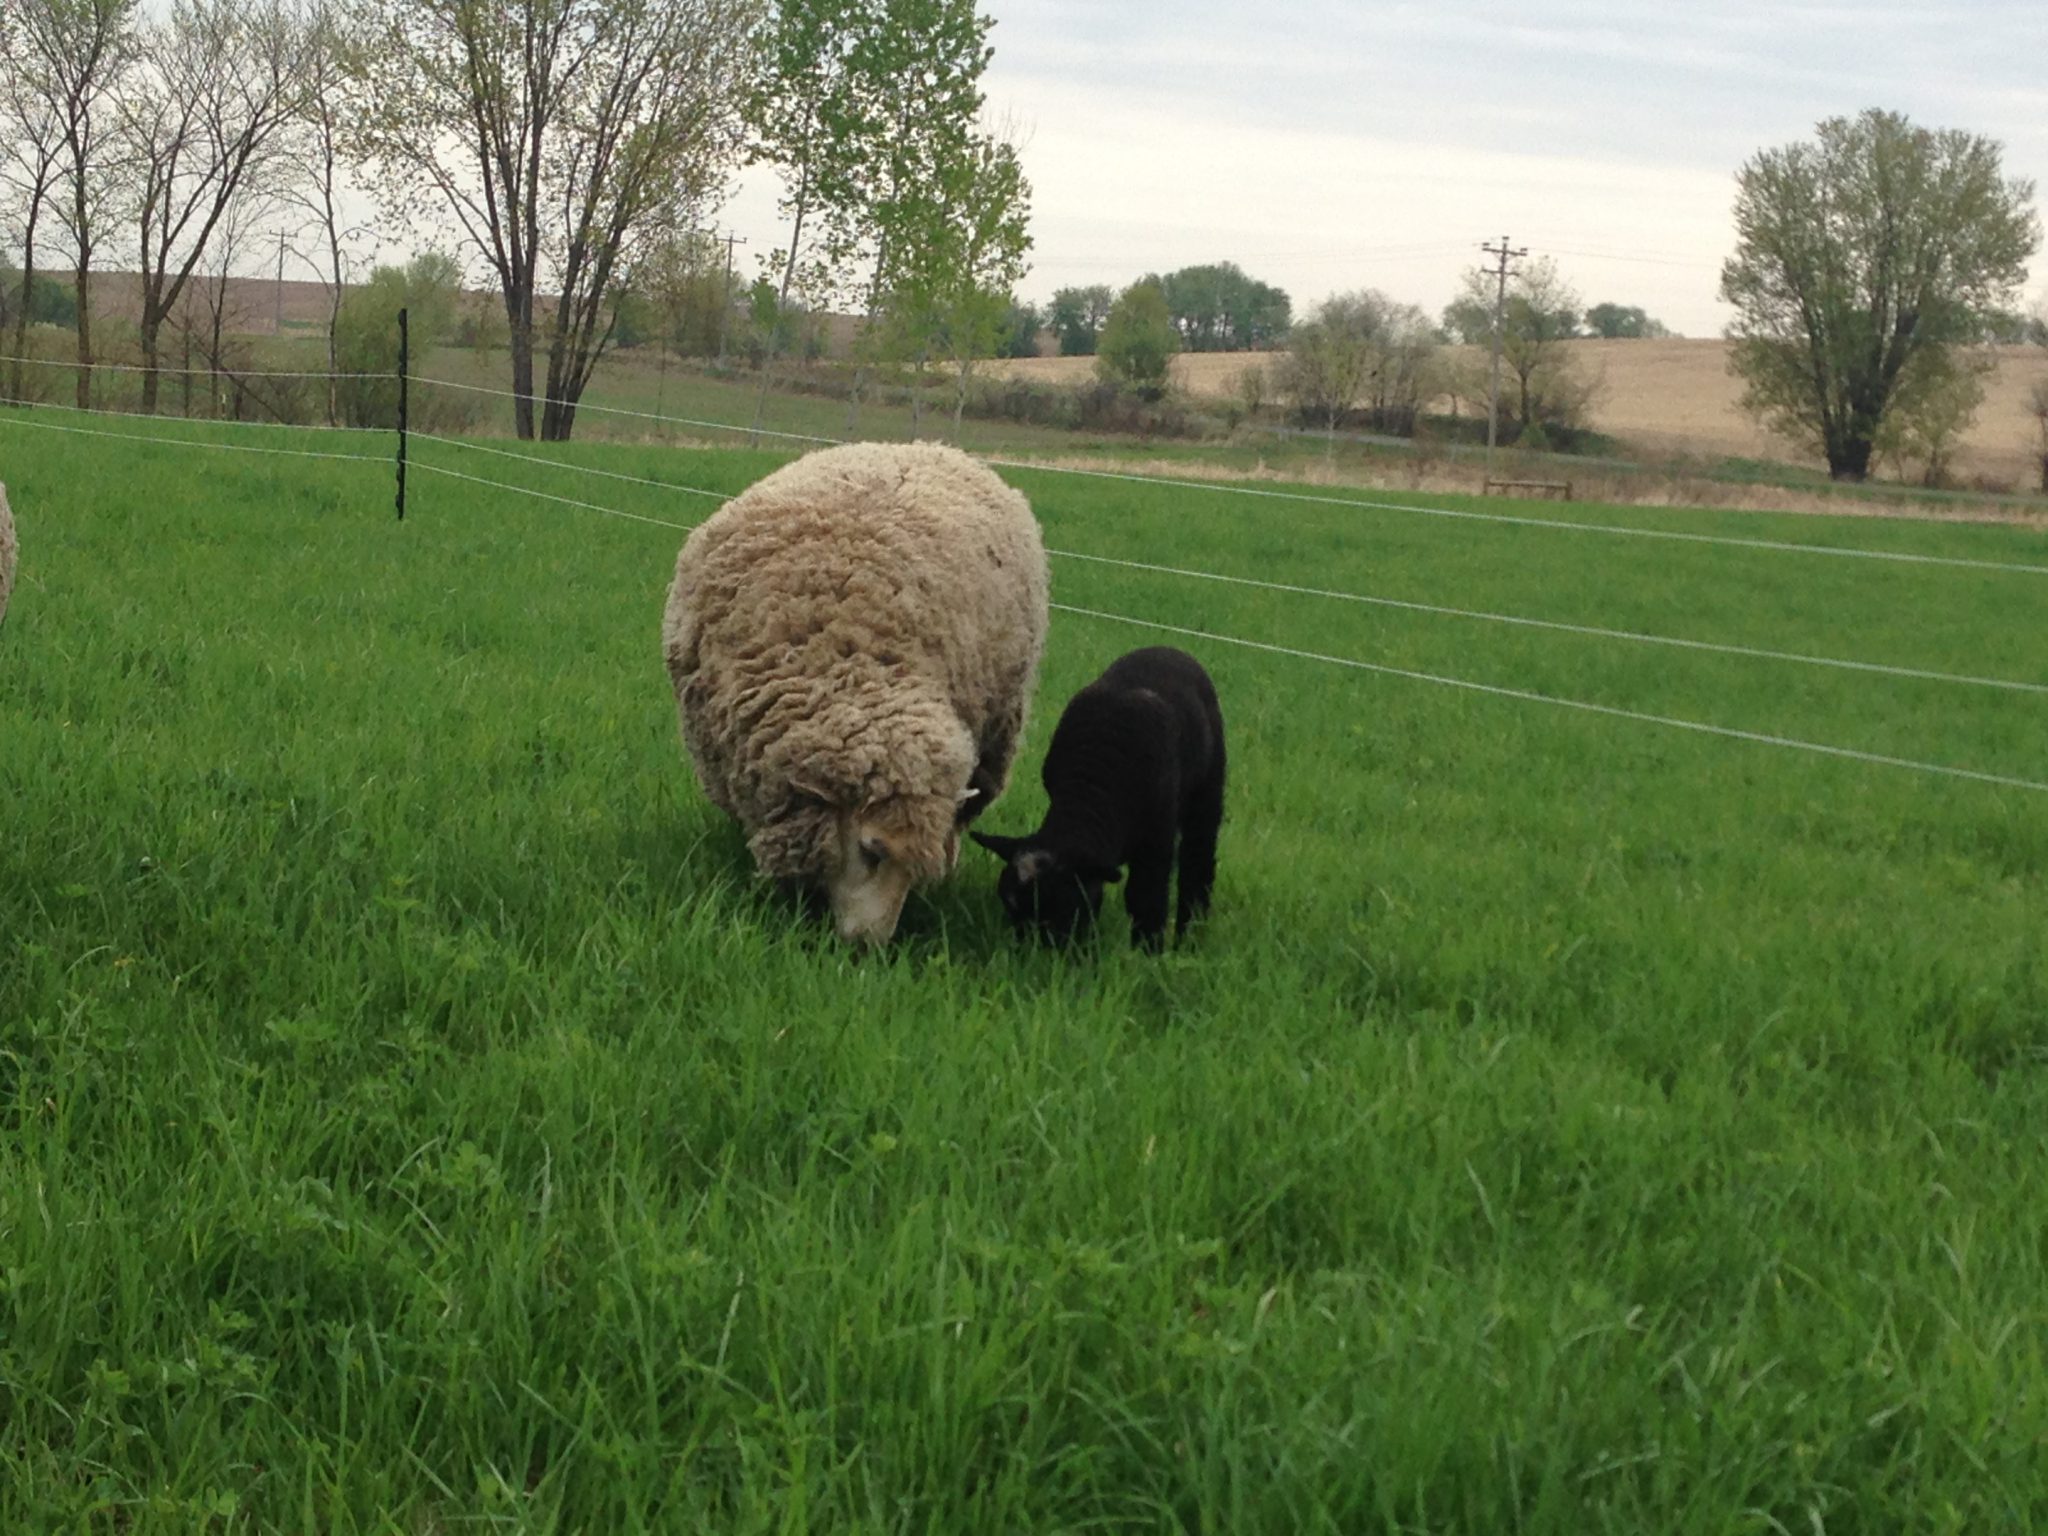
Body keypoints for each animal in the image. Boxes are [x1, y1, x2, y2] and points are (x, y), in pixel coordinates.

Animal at [972, 645, 1226, 951]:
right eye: (1010, 907)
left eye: (1059, 908)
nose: (1031, 953)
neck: (1093, 790)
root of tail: (1167, 650)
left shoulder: (1156, 838)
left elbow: (1145, 896)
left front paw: (1148, 950)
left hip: (1209, 786)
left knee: (1197, 859)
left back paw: (1191, 931)